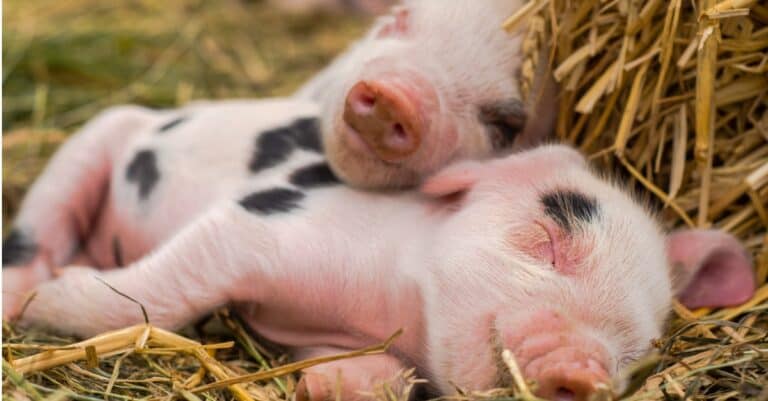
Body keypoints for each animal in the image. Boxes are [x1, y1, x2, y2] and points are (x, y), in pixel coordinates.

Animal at [2, 99, 755, 401]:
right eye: (548, 238)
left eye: (636, 350)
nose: (581, 369)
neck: (390, 304)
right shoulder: (256, 226)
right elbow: (163, 291)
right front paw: (60, 292)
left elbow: (387, 377)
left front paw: (326, 385)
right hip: (91, 140)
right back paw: (27, 288)